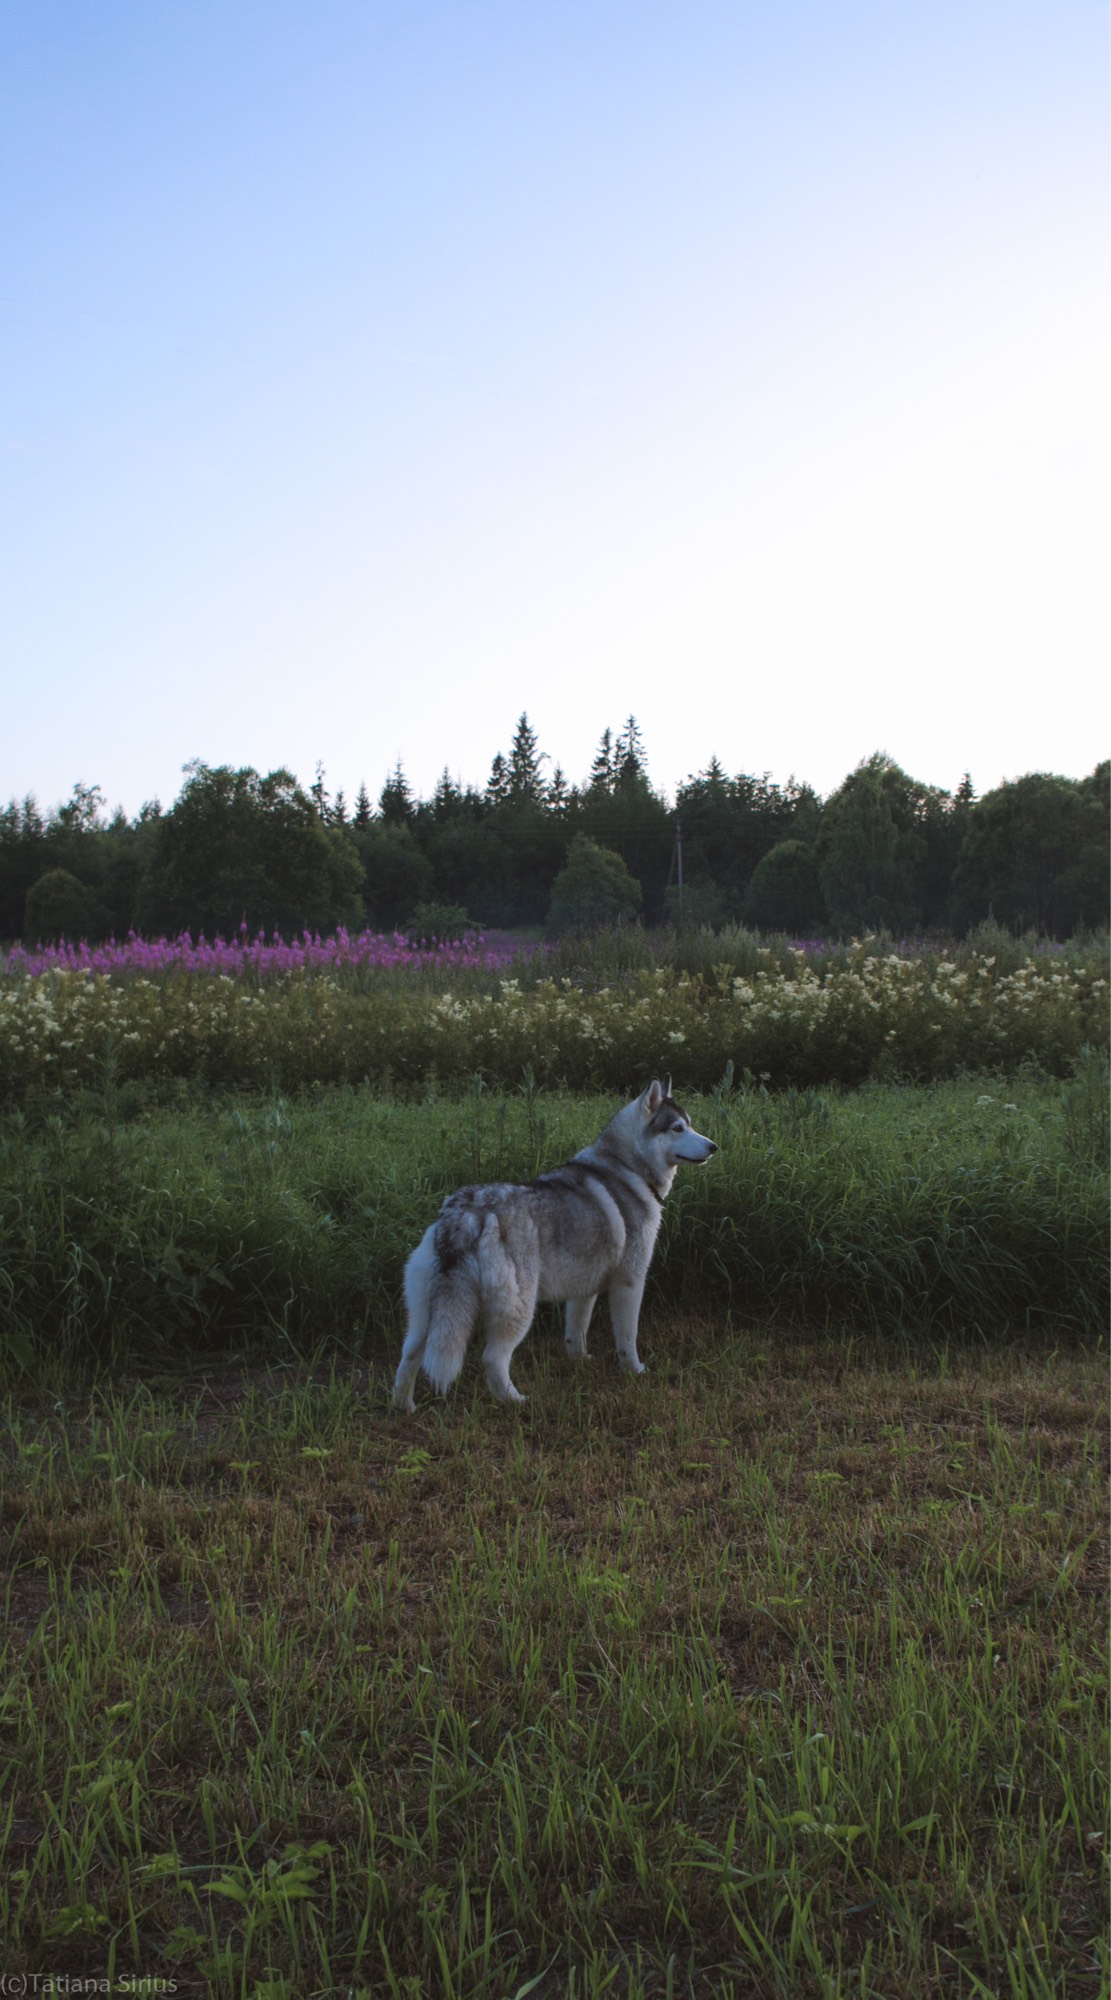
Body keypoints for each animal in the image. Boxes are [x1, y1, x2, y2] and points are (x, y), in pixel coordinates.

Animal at [395, 1080, 715, 1408]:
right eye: (677, 1128)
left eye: (690, 1124)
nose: (713, 1146)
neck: (627, 1166)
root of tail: (465, 1213)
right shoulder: (629, 1282)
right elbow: (628, 1337)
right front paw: (634, 1371)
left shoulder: (584, 1290)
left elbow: (576, 1331)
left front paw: (579, 1361)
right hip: (518, 1310)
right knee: (493, 1358)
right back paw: (516, 1400)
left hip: (424, 1313)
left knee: (410, 1354)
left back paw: (405, 1406)